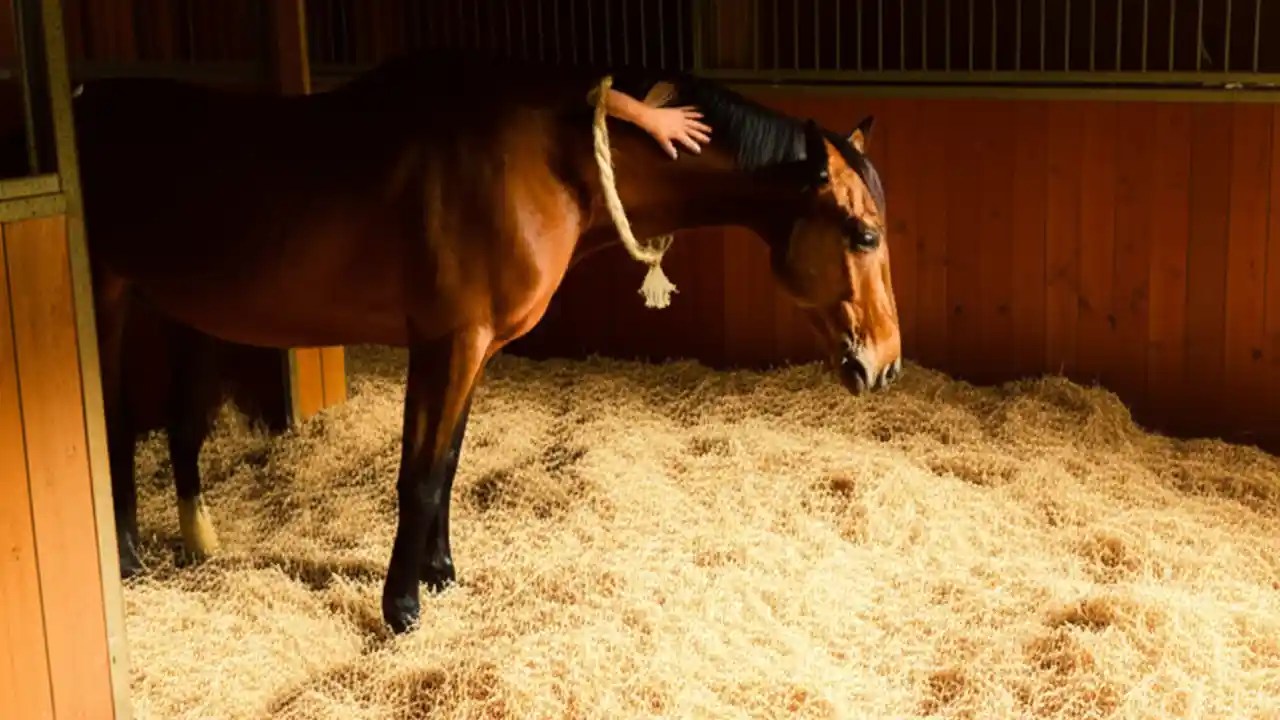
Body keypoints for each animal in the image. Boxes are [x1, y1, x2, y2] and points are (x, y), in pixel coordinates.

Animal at [72, 47, 902, 634]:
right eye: (863, 234)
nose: (885, 364)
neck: (549, 160)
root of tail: (85, 101)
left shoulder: (471, 349)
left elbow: (446, 463)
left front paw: (438, 574)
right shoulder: (449, 341)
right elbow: (420, 475)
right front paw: (402, 607)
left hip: (187, 312)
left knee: (181, 427)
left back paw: (200, 543)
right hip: (108, 301)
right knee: (113, 425)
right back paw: (130, 556)